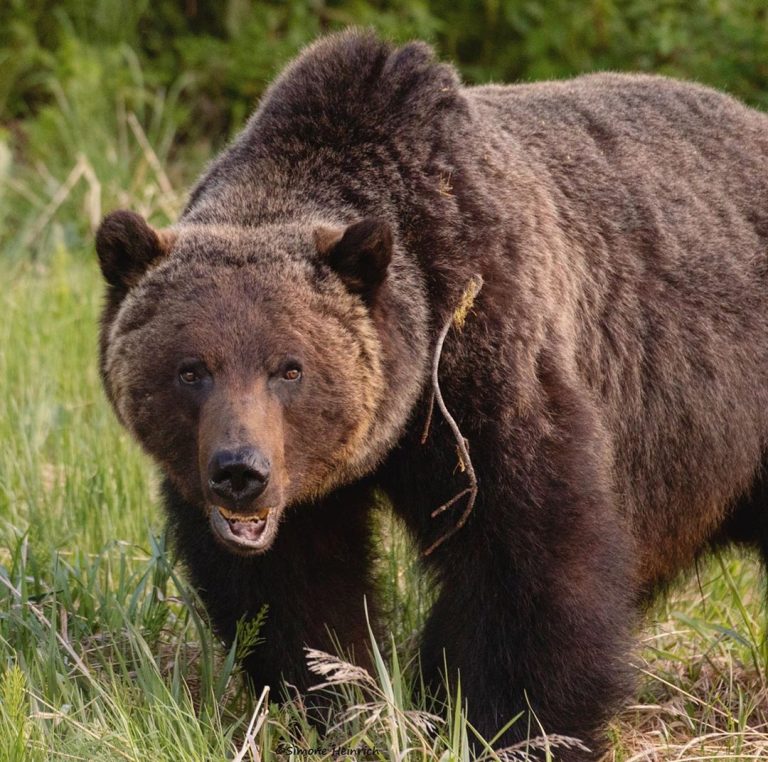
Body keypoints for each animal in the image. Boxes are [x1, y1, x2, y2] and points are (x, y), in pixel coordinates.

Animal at [95, 29, 768, 759]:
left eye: (289, 369)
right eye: (191, 369)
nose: (241, 472)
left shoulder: (487, 372)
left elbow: (530, 567)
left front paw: (514, 723)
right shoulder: (297, 493)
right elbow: (295, 590)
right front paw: (342, 703)